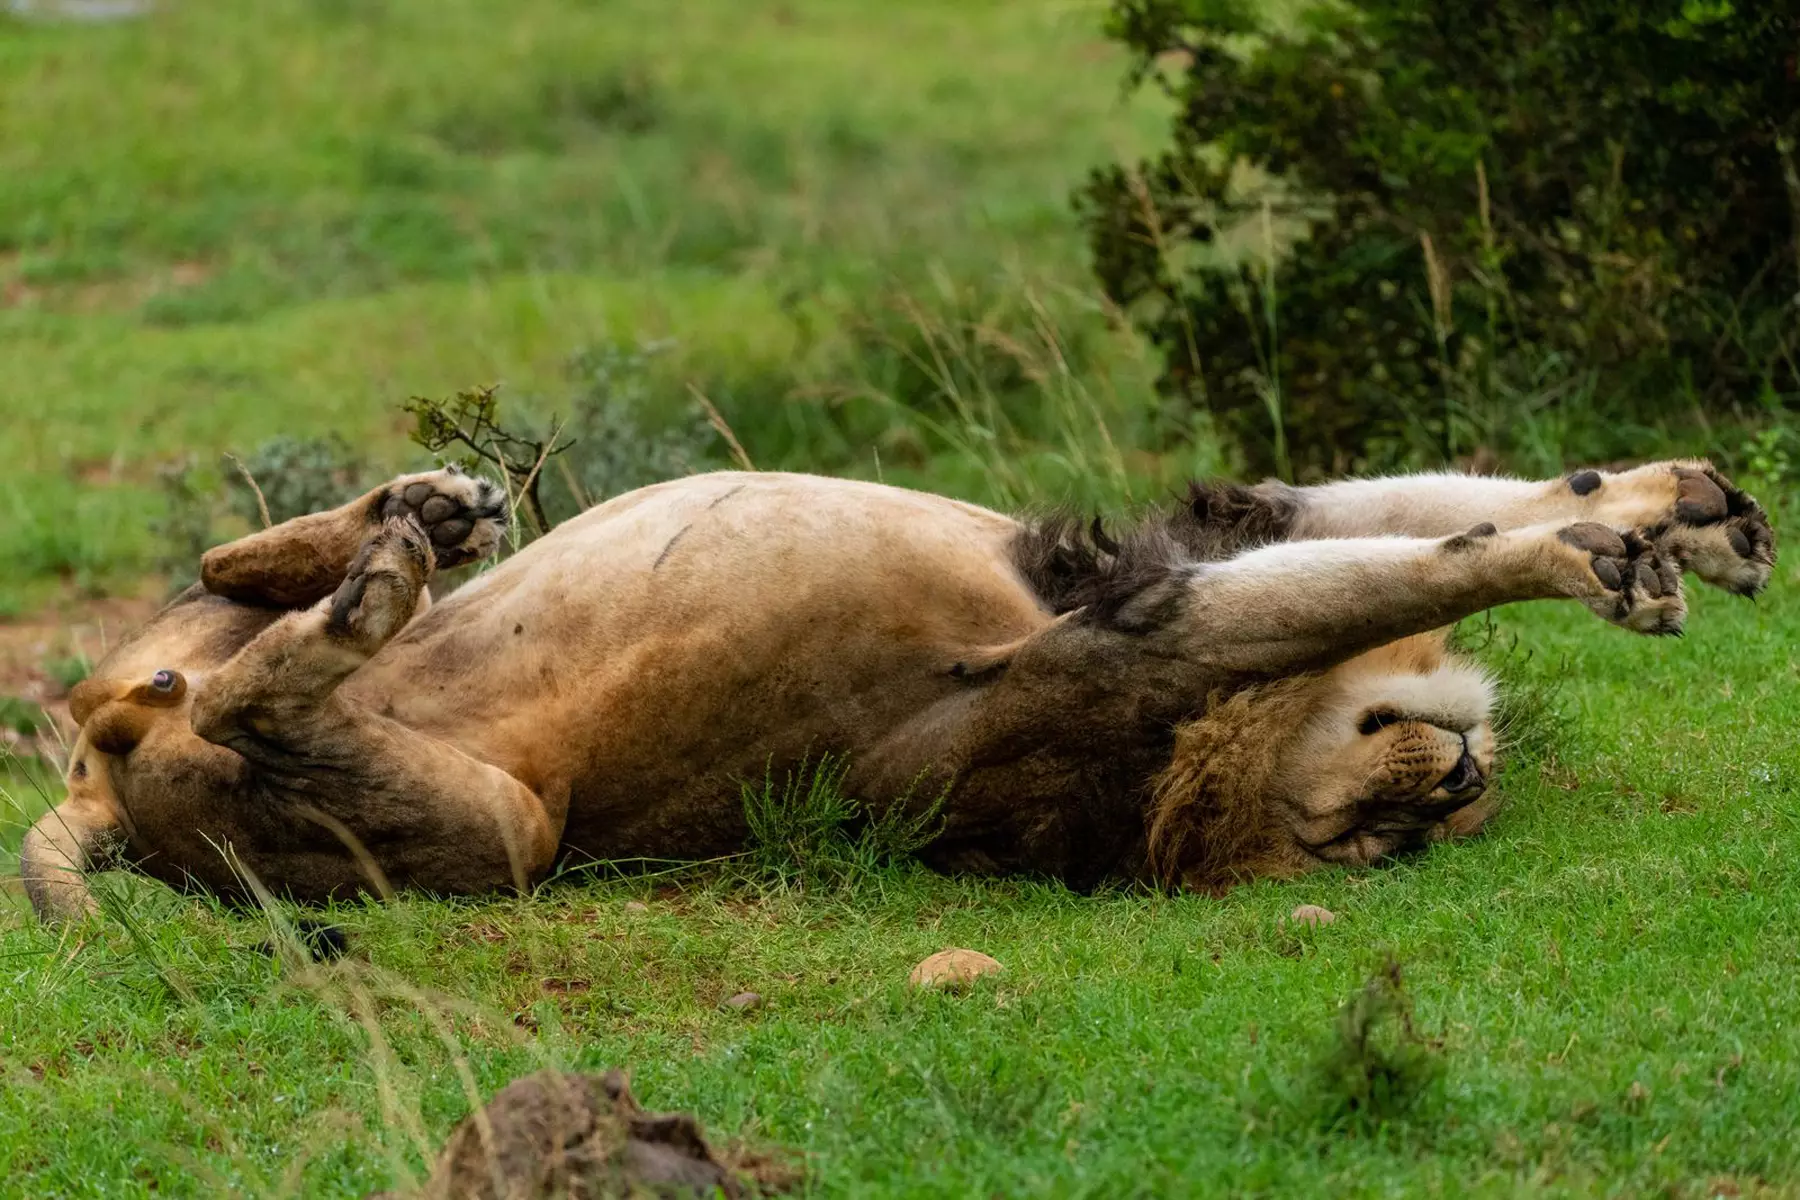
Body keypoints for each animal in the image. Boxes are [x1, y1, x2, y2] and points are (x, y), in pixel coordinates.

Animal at [21, 460, 1778, 921]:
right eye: (1365, 844)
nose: (1461, 787)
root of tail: (96, 784)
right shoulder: (1134, 632)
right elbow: (1433, 545)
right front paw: (1615, 556)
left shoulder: (1168, 547)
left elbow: (1418, 497)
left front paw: (1678, 508)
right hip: (505, 834)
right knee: (242, 701)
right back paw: (390, 564)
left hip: (178, 666)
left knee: (203, 607)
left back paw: (414, 524)